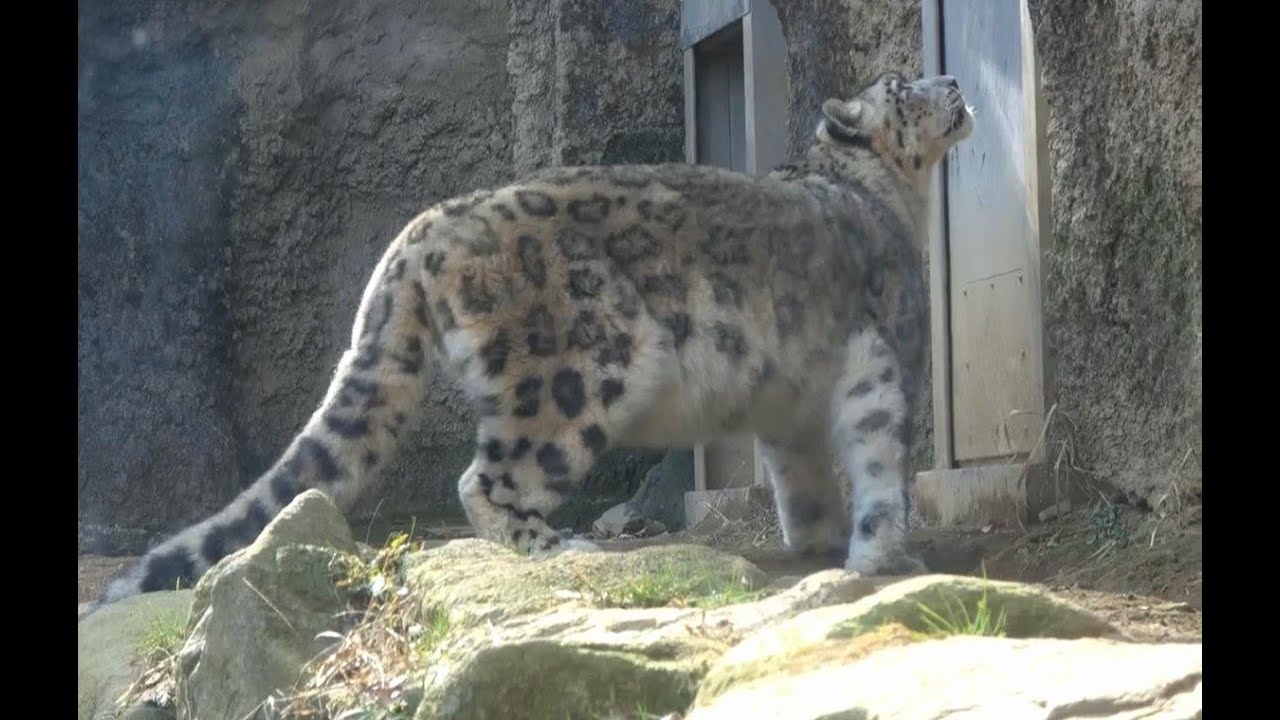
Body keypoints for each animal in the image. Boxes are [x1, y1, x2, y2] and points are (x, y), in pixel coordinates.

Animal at [96, 71, 975, 609]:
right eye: (902, 86)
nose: (958, 83)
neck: (894, 196)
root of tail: (423, 226)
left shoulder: (790, 401)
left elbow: (802, 470)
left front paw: (822, 540)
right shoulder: (890, 354)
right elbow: (882, 451)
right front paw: (888, 557)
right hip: (581, 368)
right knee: (486, 478)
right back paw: (556, 545)